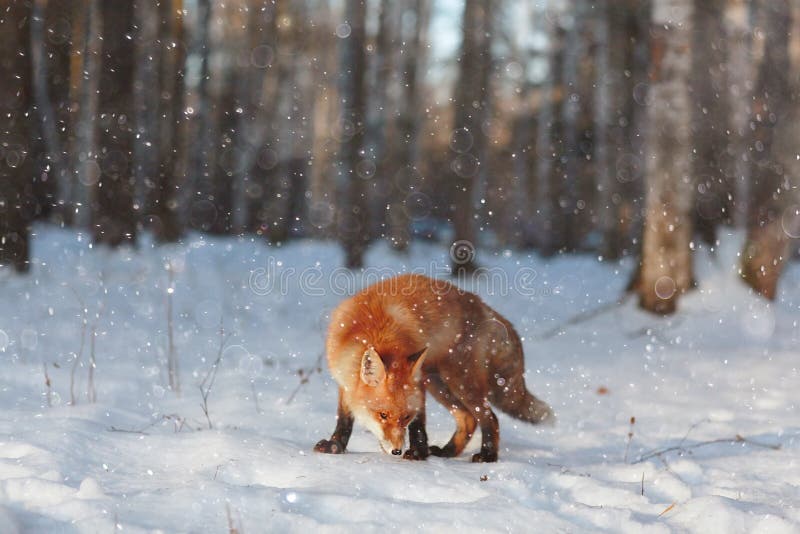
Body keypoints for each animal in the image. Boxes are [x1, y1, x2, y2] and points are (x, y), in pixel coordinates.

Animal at [314, 273, 553, 462]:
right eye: (382, 415)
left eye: (405, 417)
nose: (397, 451)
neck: (376, 332)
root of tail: (484, 306)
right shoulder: (344, 382)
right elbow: (344, 419)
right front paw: (336, 446)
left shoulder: (418, 387)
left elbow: (419, 424)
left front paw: (418, 452)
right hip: (438, 384)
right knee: (468, 419)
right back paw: (448, 451)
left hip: (458, 381)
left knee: (489, 417)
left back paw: (487, 455)